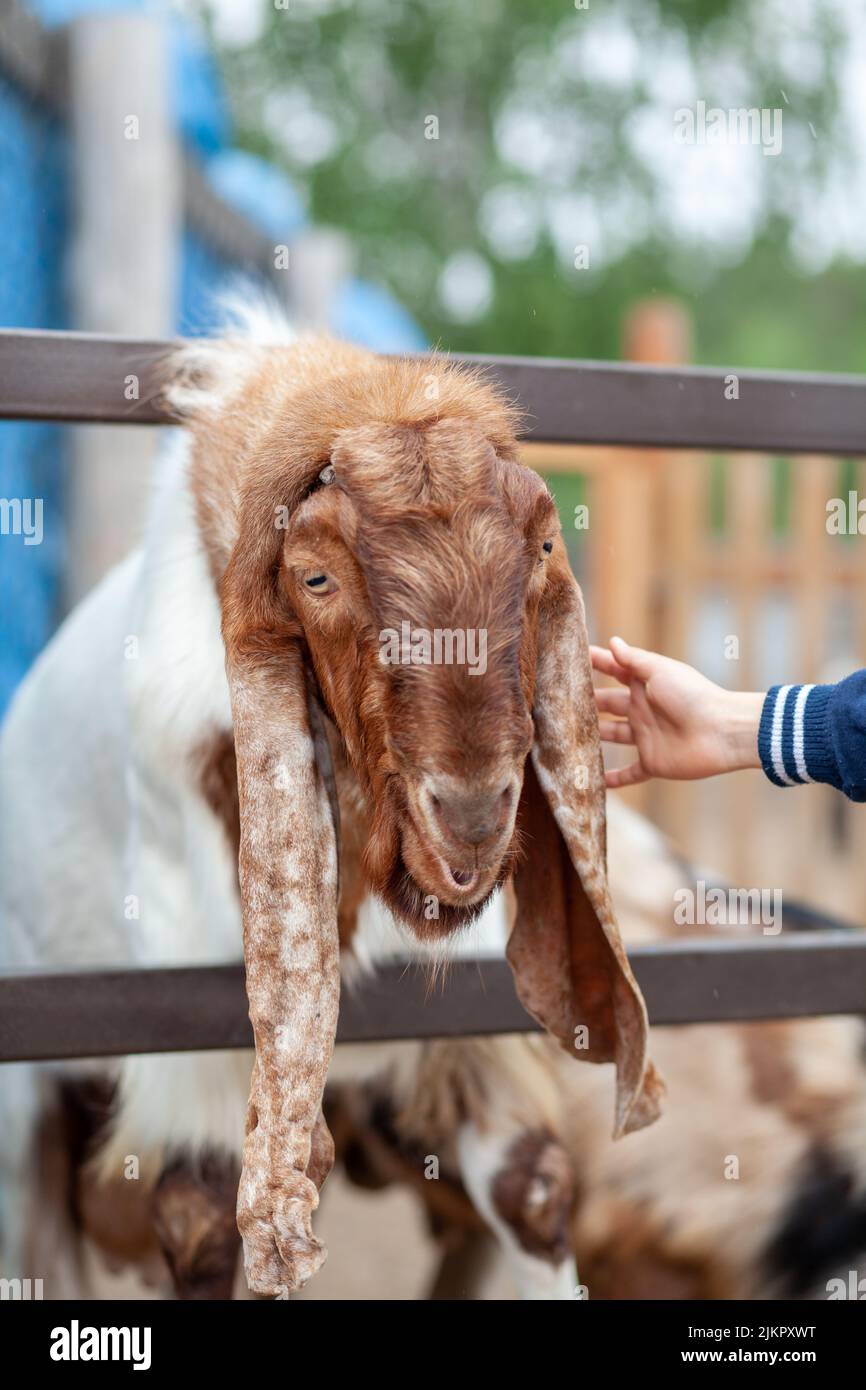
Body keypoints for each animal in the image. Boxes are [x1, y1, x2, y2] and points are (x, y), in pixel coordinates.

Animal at [0, 307, 662, 1298]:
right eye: (315, 579)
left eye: (544, 548)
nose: (472, 816)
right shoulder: (192, 1064)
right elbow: (211, 1227)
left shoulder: (455, 1048)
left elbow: (534, 1184)